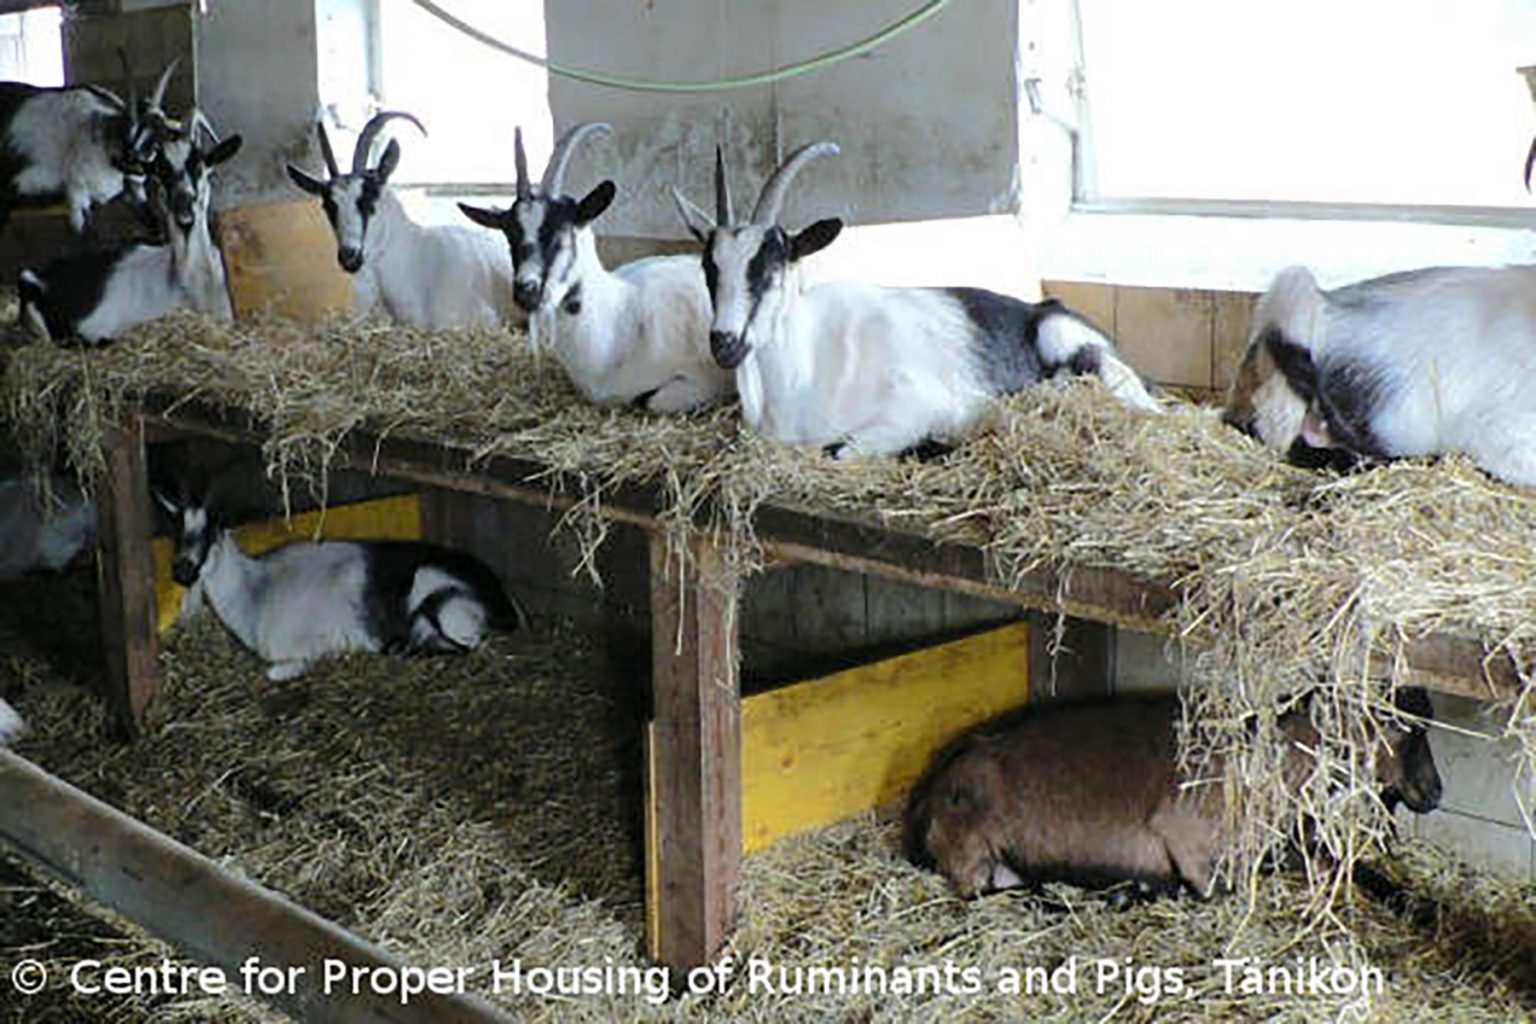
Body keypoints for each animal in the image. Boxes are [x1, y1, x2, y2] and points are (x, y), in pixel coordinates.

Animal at [156, 484, 525, 682]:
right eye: (177, 530)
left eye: (212, 531)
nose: (182, 572)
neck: (257, 589)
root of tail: (508, 606)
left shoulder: (299, 654)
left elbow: (273, 672)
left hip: (446, 604)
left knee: (469, 645)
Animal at [458, 123, 730, 412]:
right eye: (510, 236)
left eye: (561, 232)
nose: (525, 291)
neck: (619, 322)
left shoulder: (701, 381)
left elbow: (652, 401)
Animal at [671, 143, 1161, 457]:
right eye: (709, 268)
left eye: (771, 266)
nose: (724, 342)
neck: (804, 369)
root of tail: (1048, 308)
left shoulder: (913, 409)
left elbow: (840, 450)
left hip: (1075, 350)